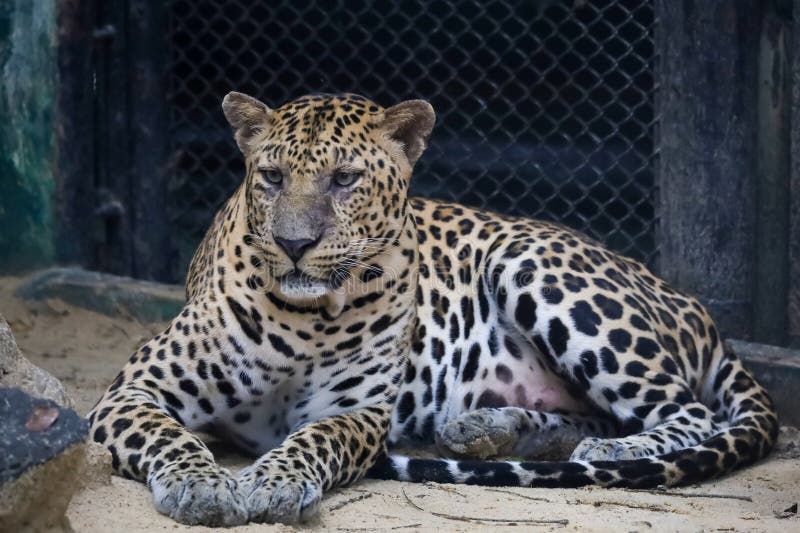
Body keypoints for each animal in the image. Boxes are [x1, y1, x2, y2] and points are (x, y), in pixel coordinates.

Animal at [88, 91, 778, 527]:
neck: (305, 321)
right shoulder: (131, 392)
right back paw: (489, 429)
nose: (293, 243)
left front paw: (277, 481)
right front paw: (201, 484)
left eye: (344, 180)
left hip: (533, 265)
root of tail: (693, 304)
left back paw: (609, 452)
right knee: (594, 415)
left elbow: (314, 438)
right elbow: (170, 435)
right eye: (273, 177)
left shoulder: (357, 414)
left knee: (687, 412)